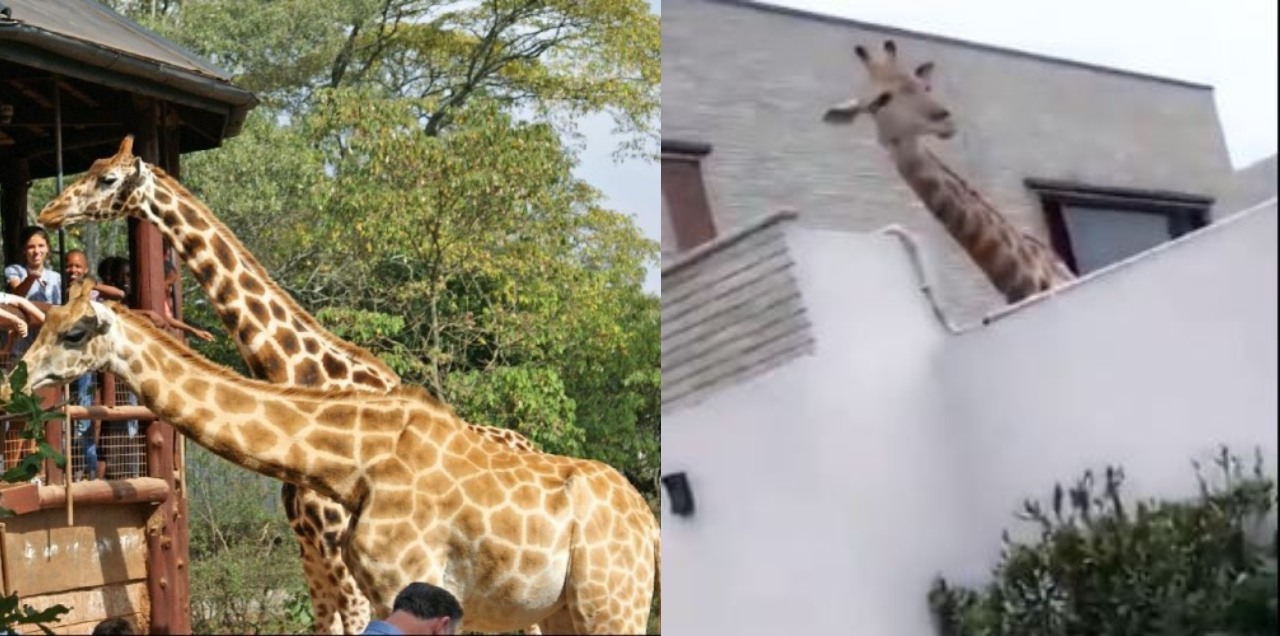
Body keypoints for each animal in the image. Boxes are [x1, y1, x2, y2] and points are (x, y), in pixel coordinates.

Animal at [20, 279, 660, 634]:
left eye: (75, 332)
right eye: (44, 323)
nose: (20, 374)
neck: (355, 461)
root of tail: (649, 524)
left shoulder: (417, 580)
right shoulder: (379, 589)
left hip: (612, 603)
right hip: (560, 610)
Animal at [37, 136, 545, 634]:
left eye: (107, 178)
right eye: (88, 166)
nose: (48, 212)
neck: (301, 373)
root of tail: (531, 444)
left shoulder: (343, 553)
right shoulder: (309, 547)